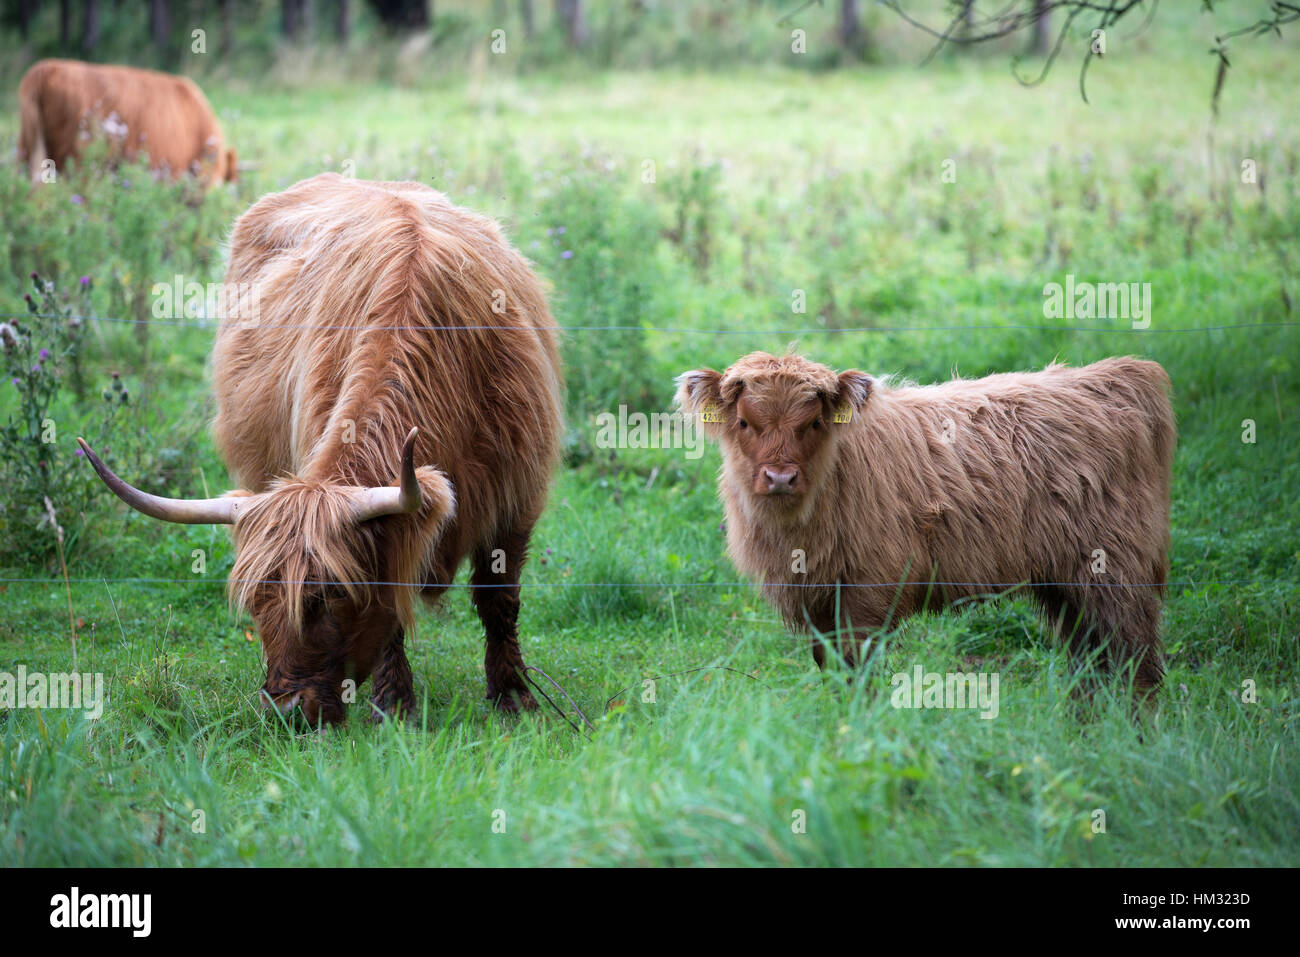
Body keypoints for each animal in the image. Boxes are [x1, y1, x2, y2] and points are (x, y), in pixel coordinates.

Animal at [80, 173, 563, 725]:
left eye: (326, 595)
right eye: (255, 602)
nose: (285, 709)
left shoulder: (518, 494)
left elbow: (498, 596)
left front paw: (514, 696)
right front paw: (392, 704)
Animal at [676, 351, 1175, 699]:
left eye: (814, 422)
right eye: (745, 422)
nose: (780, 477)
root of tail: (1113, 375)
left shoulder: (871, 589)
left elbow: (858, 667)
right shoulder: (815, 598)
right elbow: (831, 667)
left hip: (1114, 568)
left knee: (1136, 658)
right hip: (1064, 579)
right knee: (1091, 659)